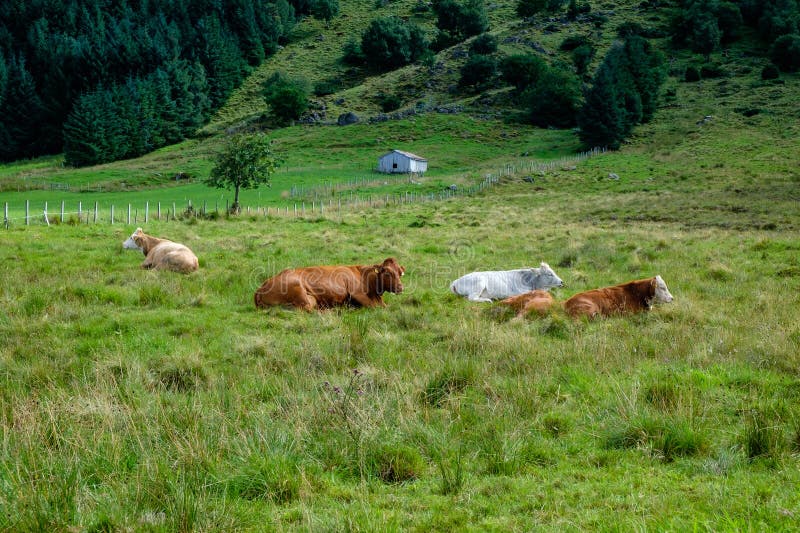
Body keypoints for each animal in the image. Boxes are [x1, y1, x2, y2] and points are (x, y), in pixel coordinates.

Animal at [254, 257, 405, 311]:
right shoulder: (357, 293)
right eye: (387, 272)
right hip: (299, 291)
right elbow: (375, 306)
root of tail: (261, 287)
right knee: (307, 309)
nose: (400, 287)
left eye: (400, 272)